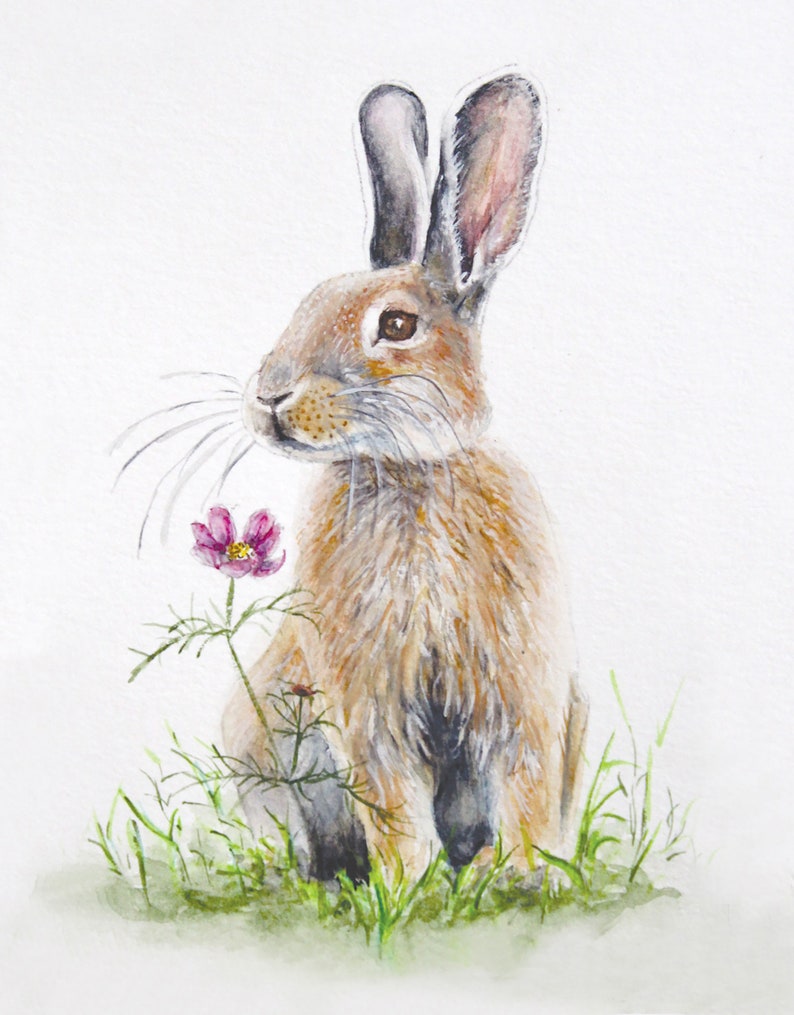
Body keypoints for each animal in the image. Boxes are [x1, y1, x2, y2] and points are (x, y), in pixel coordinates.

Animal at [222, 73, 588, 882]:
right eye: (308, 303)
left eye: (396, 326)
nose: (271, 396)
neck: (409, 474)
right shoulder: (367, 701)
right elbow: (390, 798)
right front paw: (403, 883)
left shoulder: (521, 689)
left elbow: (526, 783)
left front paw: (526, 874)